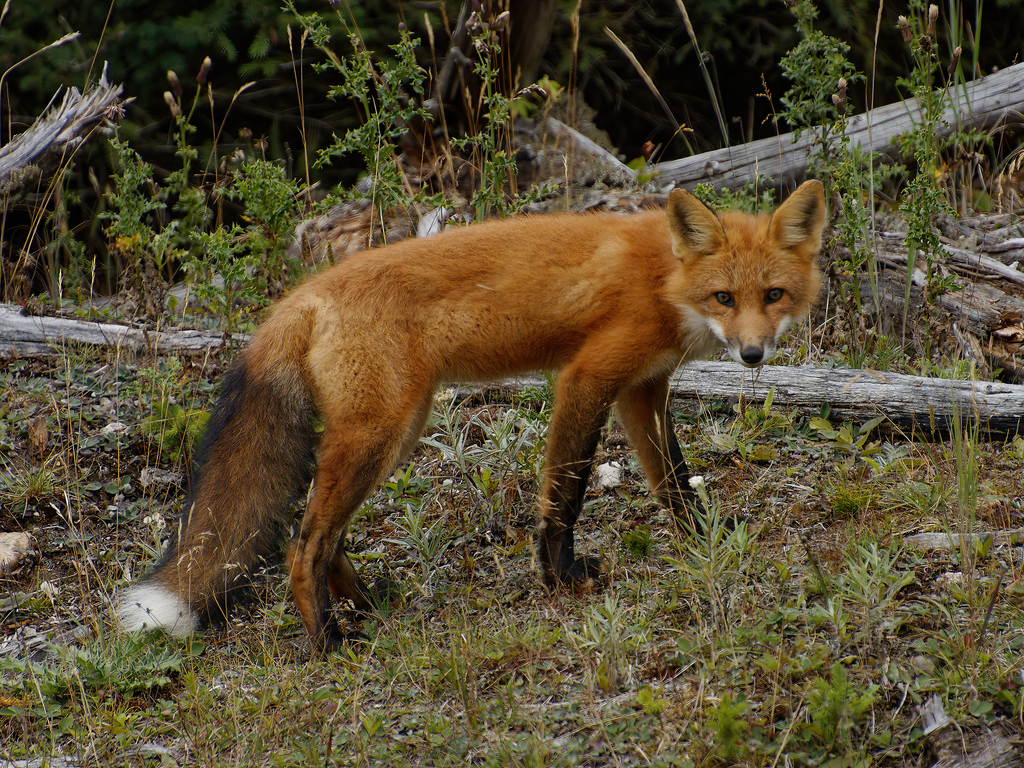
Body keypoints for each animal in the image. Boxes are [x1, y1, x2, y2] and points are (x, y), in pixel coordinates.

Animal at [117, 180, 826, 655]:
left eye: (773, 295)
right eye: (723, 297)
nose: (754, 354)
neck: (664, 278)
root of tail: (301, 296)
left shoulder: (642, 389)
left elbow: (673, 481)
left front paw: (707, 537)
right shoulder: (587, 378)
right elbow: (565, 494)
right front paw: (560, 576)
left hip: (396, 435)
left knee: (329, 539)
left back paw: (371, 608)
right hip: (377, 436)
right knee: (303, 543)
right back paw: (329, 642)